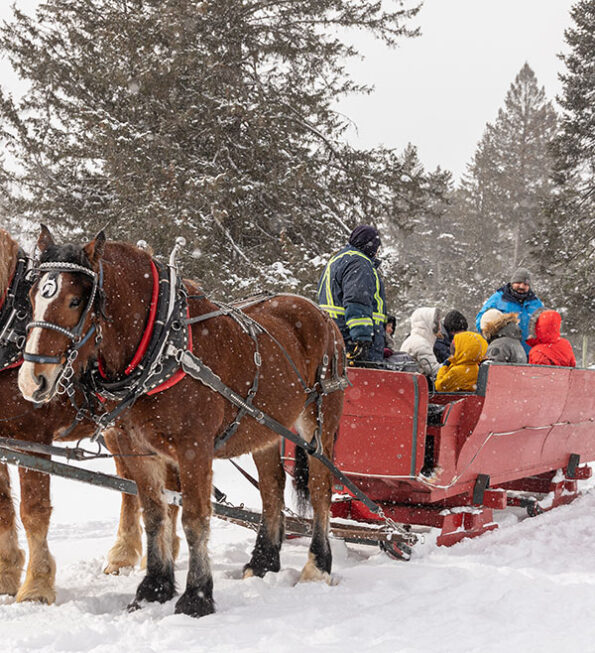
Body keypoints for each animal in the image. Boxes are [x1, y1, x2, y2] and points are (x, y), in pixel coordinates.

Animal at [0, 228, 156, 604]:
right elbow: (3, 509)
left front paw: (36, 587)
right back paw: (125, 555)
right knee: (132, 483)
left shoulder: (30, 437)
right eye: (32, 295)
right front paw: (8, 577)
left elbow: (33, 511)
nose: (32, 382)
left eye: (74, 302)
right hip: (118, 431)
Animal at [18, 226, 346, 617]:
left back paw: (318, 565)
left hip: (320, 421)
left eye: (75, 301)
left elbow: (194, 517)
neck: (163, 347)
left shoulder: (194, 448)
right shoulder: (137, 447)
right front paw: (153, 588)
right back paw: (263, 562)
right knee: (271, 487)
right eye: (32, 295)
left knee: (321, 488)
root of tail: (320, 313)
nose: (32, 380)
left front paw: (196, 597)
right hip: (265, 427)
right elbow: (154, 513)